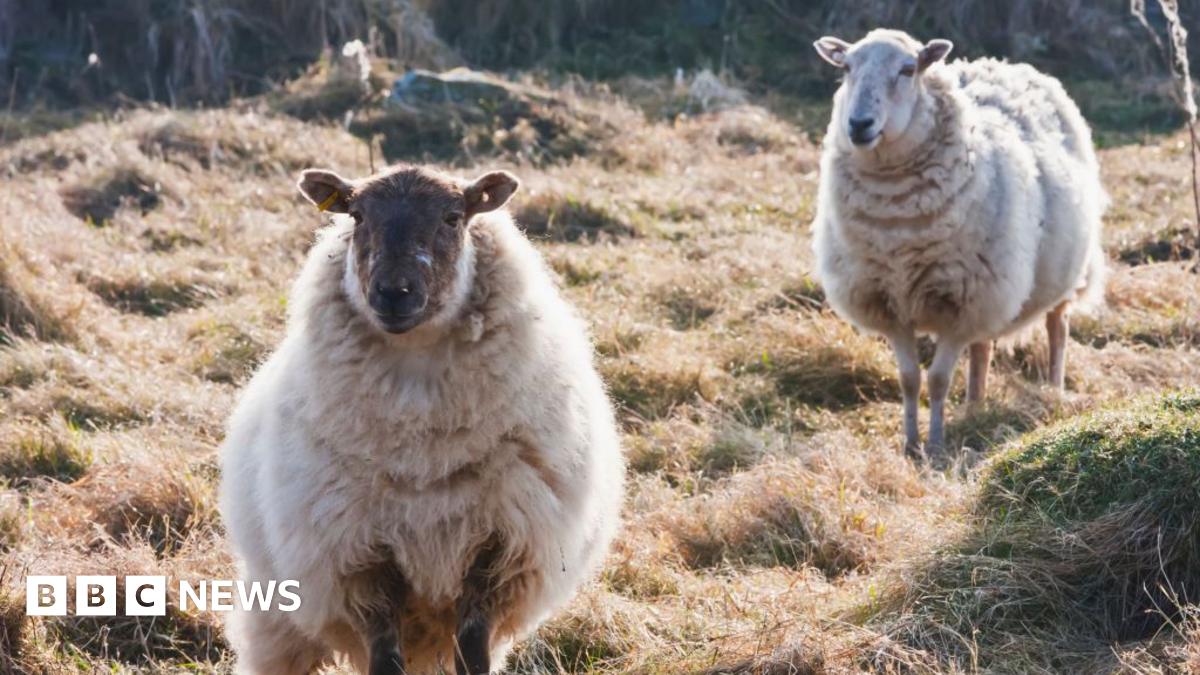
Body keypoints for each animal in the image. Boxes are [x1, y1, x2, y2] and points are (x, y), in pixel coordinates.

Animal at [218, 164, 625, 674]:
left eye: (453, 217)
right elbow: (384, 660)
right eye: (356, 214)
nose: (394, 293)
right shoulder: (359, 563)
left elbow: (473, 654)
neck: (425, 447)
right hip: (277, 611)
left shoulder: (498, 554)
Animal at [810, 29, 1106, 460]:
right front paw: (910, 443)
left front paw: (935, 446)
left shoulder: (958, 304)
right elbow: (908, 378)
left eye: (908, 69)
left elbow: (936, 380)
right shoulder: (892, 305)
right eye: (846, 68)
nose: (859, 124)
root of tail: (1005, 64)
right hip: (992, 287)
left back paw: (1053, 388)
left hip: (1060, 272)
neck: (898, 229)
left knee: (1058, 328)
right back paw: (974, 405)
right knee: (982, 347)